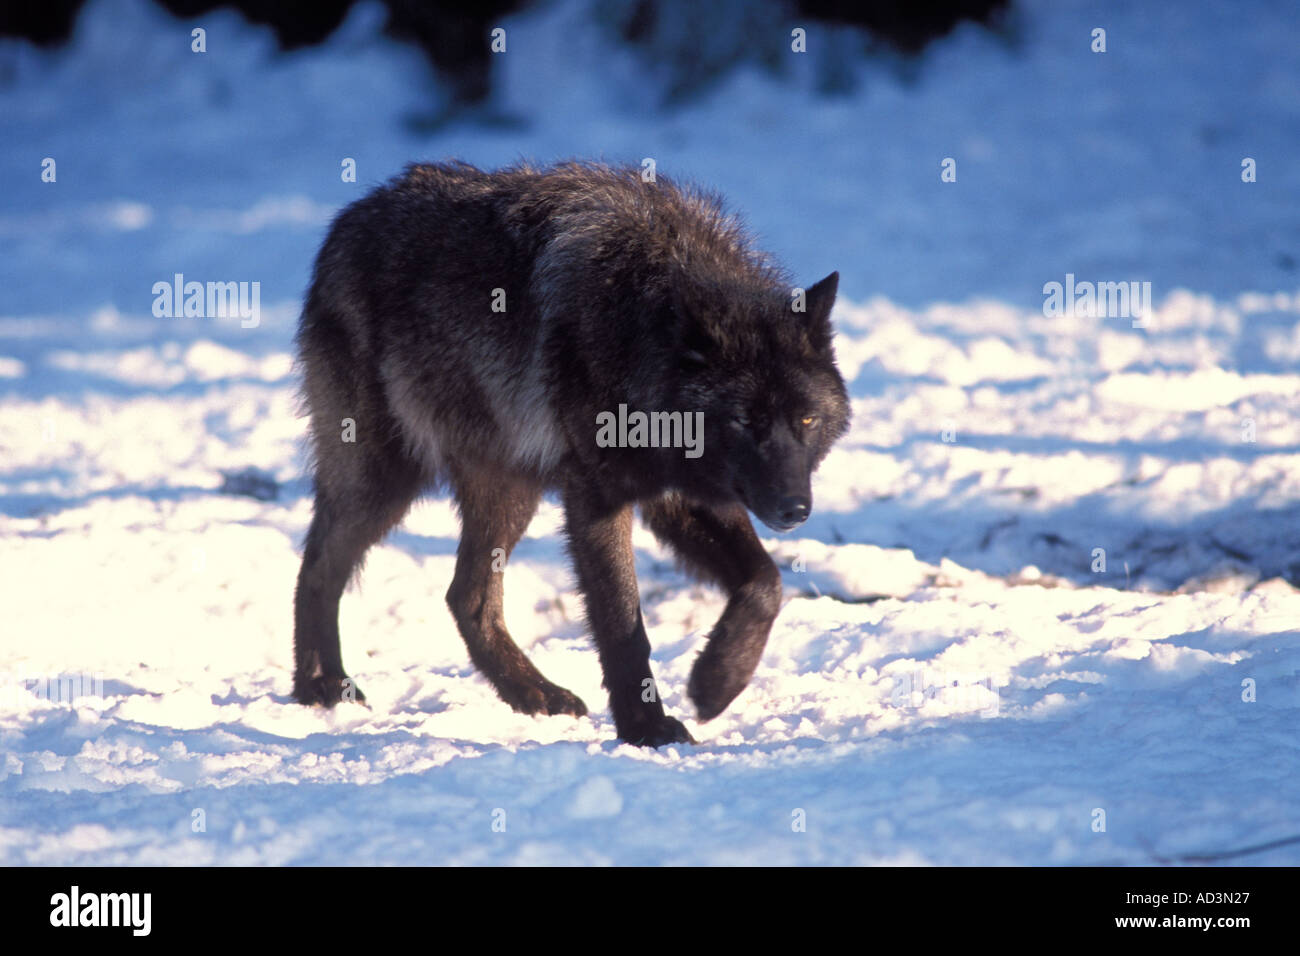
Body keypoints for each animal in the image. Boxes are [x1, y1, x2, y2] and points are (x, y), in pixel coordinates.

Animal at [292, 160, 850, 746]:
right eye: (746, 421)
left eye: (806, 420)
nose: (794, 509)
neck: (638, 325)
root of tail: (350, 217)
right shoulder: (597, 498)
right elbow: (622, 623)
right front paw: (647, 728)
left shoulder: (679, 493)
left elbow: (765, 581)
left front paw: (717, 681)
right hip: (384, 481)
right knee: (318, 567)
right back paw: (321, 686)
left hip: (509, 492)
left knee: (465, 596)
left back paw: (532, 694)